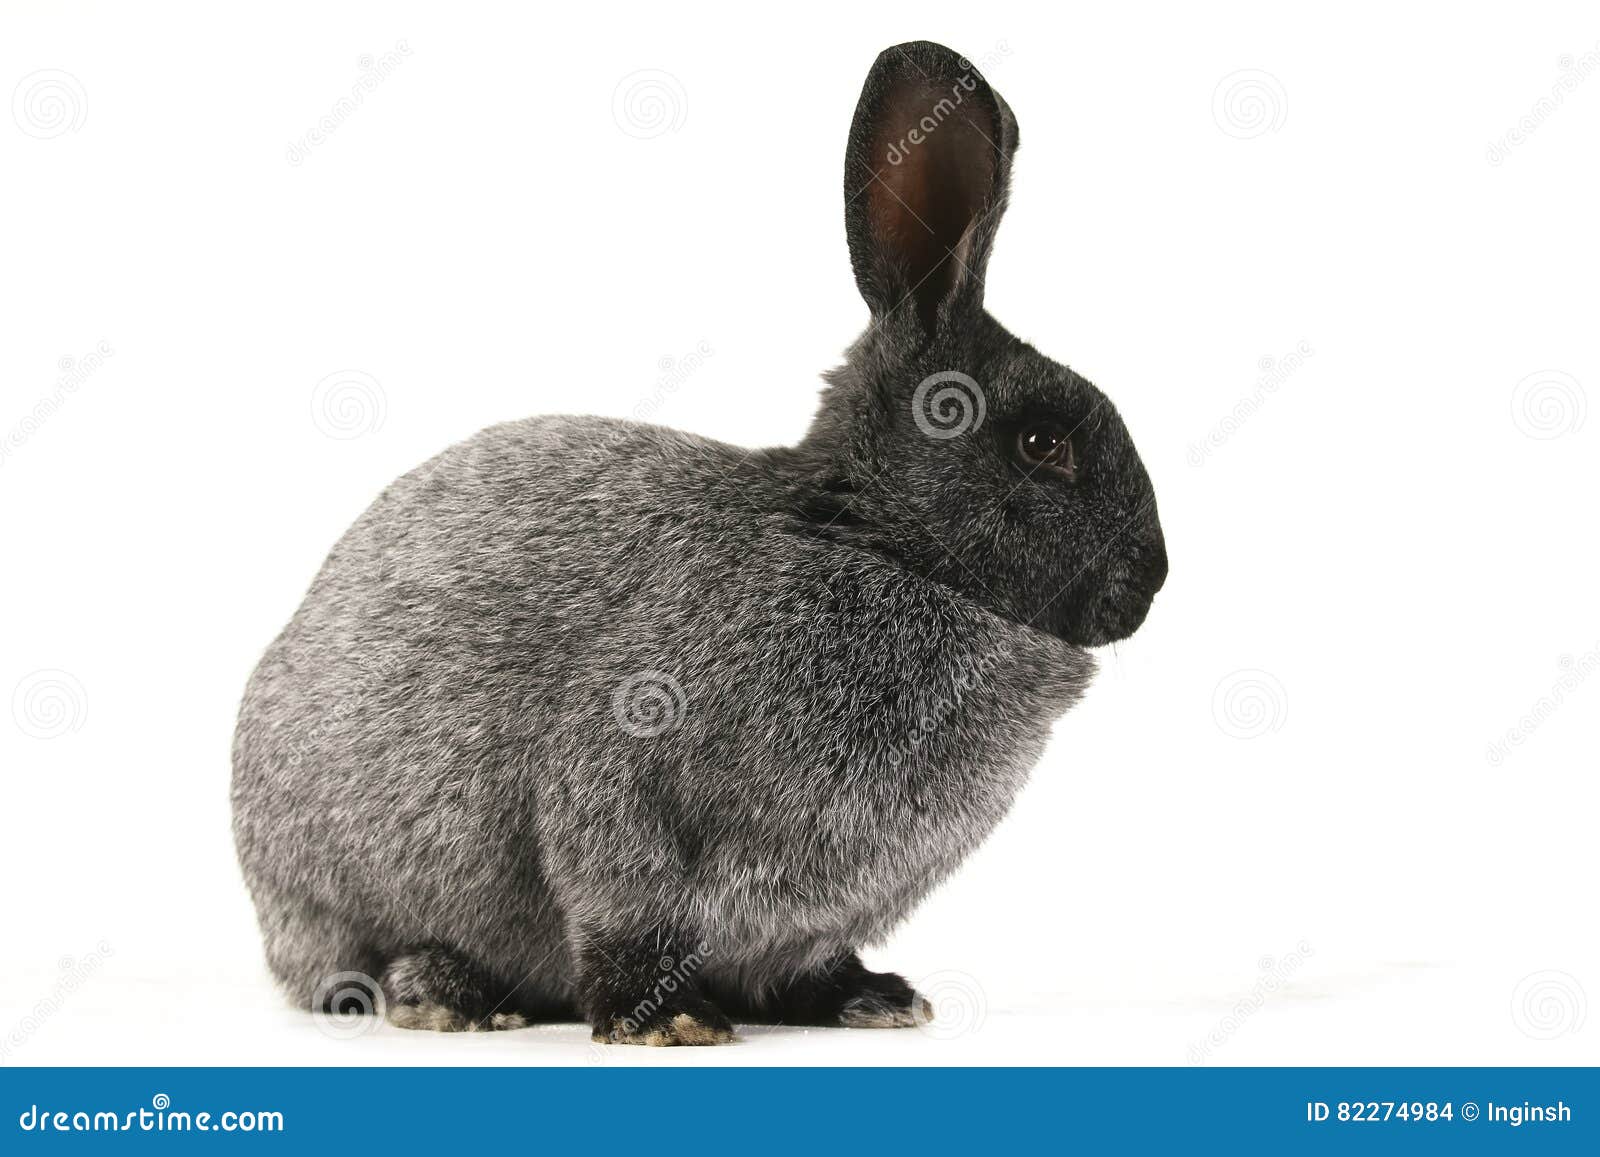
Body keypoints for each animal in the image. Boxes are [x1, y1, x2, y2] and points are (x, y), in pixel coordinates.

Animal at [231, 39, 1167, 1046]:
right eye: (1042, 443)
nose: (1153, 575)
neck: (875, 542)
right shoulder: (623, 777)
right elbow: (623, 911)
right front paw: (669, 1020)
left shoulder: (814, 915)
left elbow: (804, 961)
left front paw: (871, 998)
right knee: (360, 964)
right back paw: (448, 991)